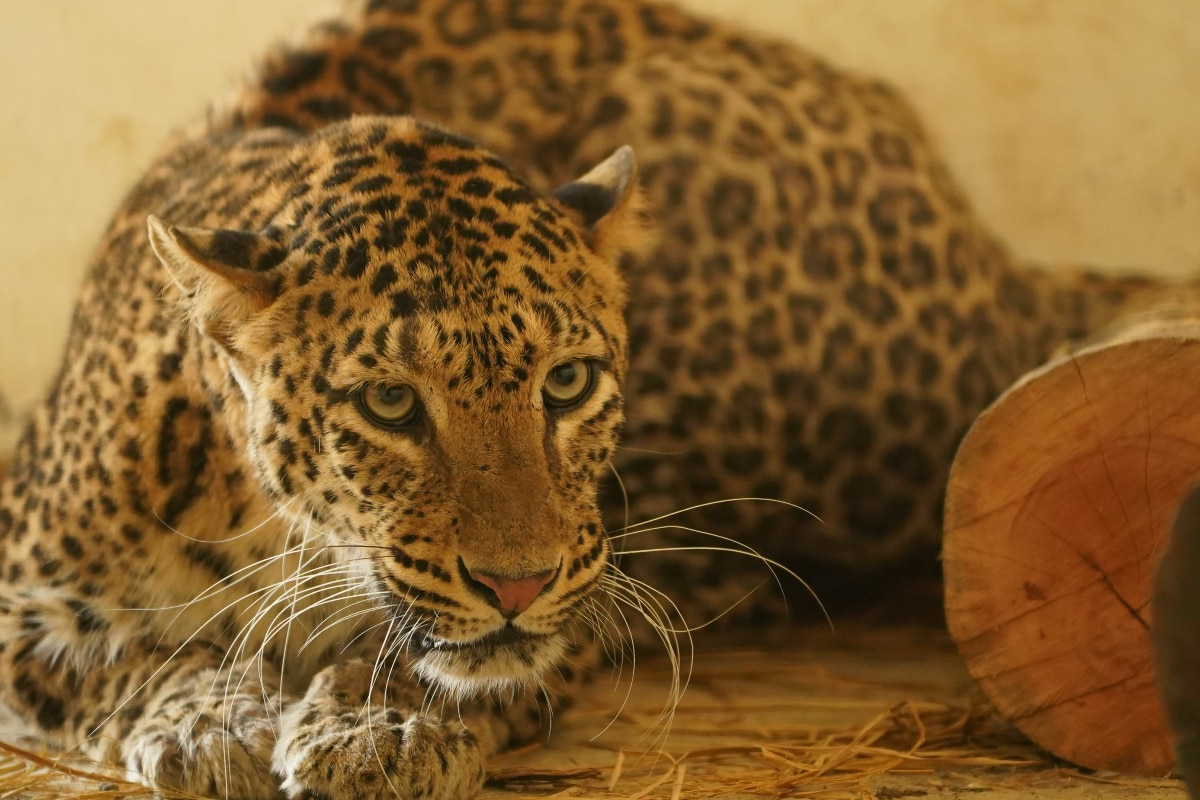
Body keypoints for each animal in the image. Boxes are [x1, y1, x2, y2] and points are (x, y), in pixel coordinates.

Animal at [0, 1, 1159, 798]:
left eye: (566, 382)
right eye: (388, 403)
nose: (517, 582)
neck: (275, 536)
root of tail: (996, 258)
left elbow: (472, 650)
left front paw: (380, 727)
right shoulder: (23, 587)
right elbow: (119, 656)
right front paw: (211, 719)